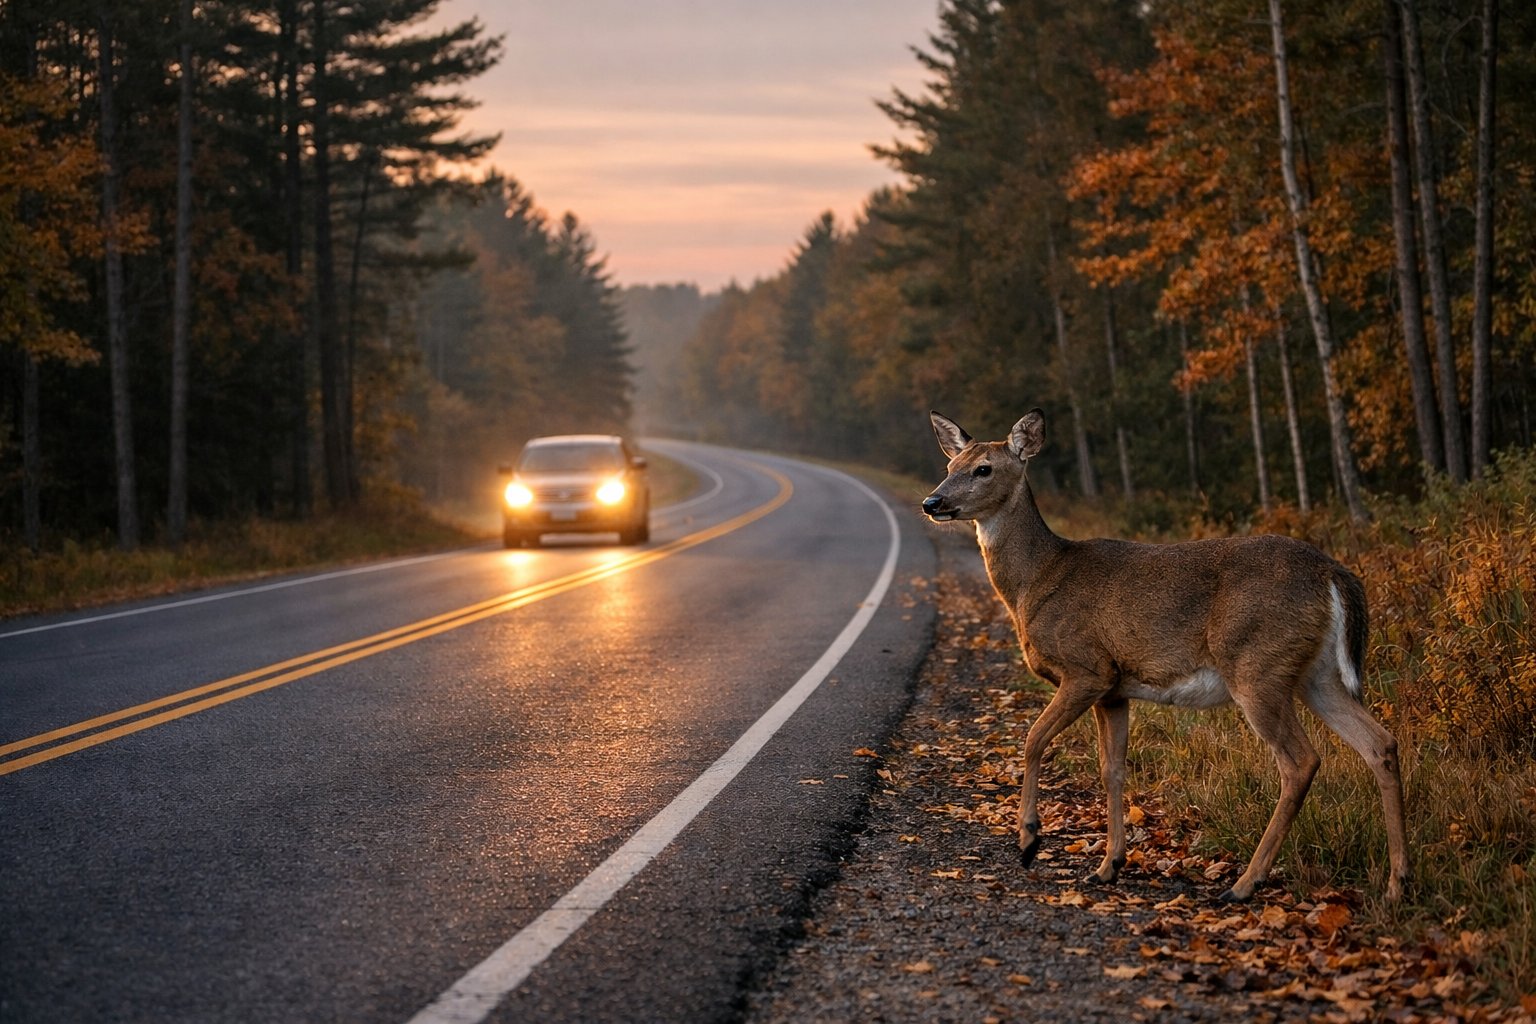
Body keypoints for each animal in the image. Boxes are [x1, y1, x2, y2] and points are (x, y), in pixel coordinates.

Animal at [921, 409, 1410, 902]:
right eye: (950, 465)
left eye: (983, 468)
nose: (932, 501)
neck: (1036, 581)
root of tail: (1333, 573)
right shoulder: (1114, 690)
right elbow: (1112, 770)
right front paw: (1109, 865)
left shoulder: (1087, 667)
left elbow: (1034, 739)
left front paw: (1028, 838)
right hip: (1316, 674)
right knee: (1379, 743)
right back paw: (1397, 884)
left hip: (1256, 664)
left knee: (1300, 761)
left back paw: (1245, 884)